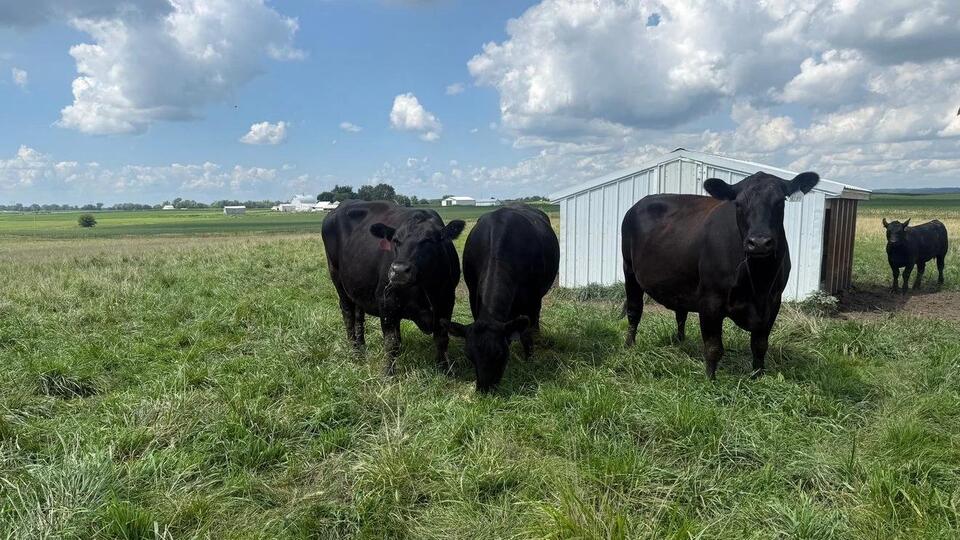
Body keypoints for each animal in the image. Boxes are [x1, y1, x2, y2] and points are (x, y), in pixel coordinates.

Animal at [321, 200, 465, 375]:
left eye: (428, 241)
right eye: (395, 240)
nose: (399, 270)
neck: (421, 287)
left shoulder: (446, 301)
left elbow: (441, 338)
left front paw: (444, 369)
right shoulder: (387, 302)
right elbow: (392, 342)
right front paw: (388, 373)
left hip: (357, 286)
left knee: (359, 315)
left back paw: (362, 347)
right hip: (337, 279)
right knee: (348, 313)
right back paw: (354, 350)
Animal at [443, 204, 560, 392]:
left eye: (499, 353)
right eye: (469, 355)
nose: (484, 389)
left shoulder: (531, 298)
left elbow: (526, 333)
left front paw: (530, 358)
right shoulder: (473, 294)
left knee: (535, 319)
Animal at [621, 171, 820, 379]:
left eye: (780, 201)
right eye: (738, 204)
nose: (759, 242)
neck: (758, 282)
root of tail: (638, 204)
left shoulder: (773, 302)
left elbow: (759, 345)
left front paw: (757, 375)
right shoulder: (710, 301)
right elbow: (713, 347)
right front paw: (710, 379)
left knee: (681, 314)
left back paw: (681, 342)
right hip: (629, 270)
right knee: (634, 311)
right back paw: (630, 346)